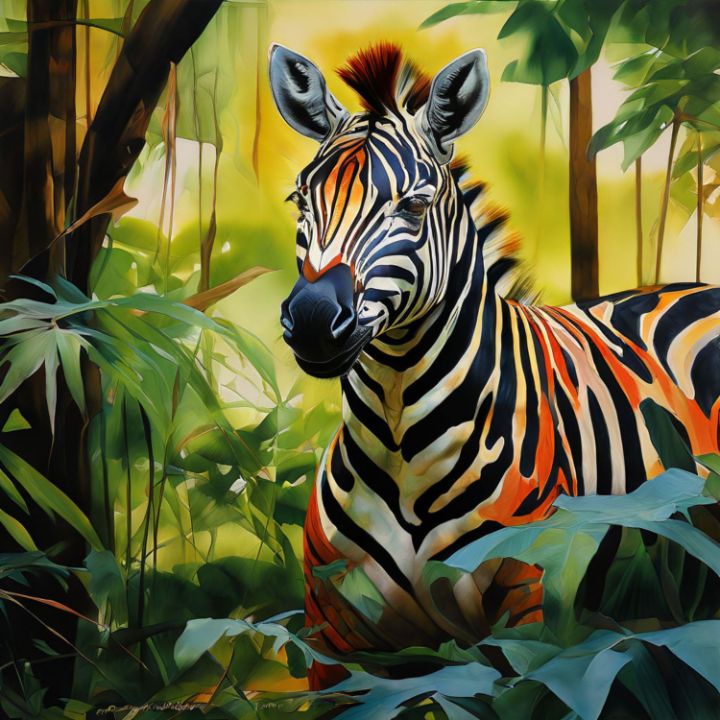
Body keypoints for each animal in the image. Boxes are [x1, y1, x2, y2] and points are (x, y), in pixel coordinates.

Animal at [268, 42, 720, 688]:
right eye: (301, 200)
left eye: (414, 206)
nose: (310, 318)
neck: (399, 435)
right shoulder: (332, 638)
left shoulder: (532, 617)